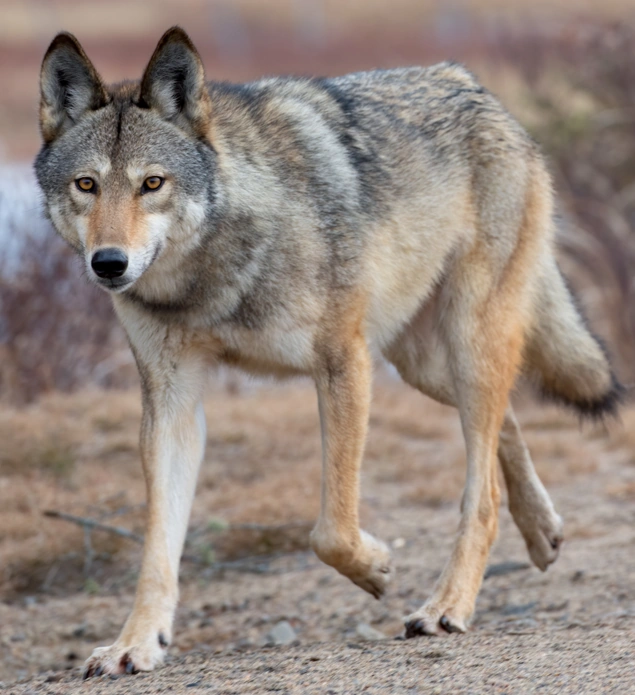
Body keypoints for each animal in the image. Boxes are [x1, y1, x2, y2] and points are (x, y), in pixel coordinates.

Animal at [35, 27, 622, 677]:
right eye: (87, 185)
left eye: (152, 184)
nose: (109, 263)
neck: (214, 273)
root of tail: (468, 82)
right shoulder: (171, 400)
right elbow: (158, 546)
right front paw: (136, 643)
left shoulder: (343, 362)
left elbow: (331, 530)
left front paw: (377, 567)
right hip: (420, 365)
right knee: (504, 423)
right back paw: (542, 532)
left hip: (464, 340)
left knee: (483, 485)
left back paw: (447, 605)